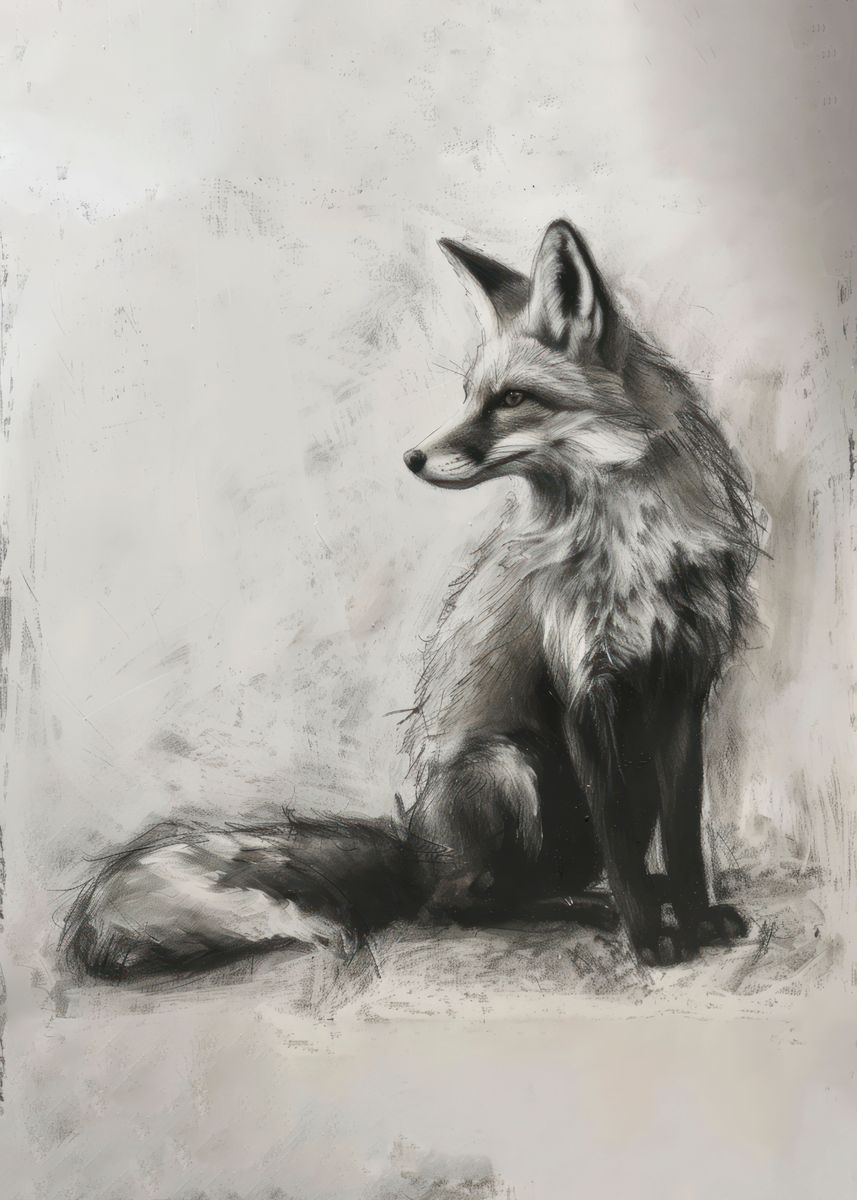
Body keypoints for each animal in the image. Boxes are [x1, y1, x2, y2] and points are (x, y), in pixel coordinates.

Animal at [62, 218, 760, 978]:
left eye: (511, 399)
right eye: (469, 393)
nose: (412, 458)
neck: (634, 549)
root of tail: (415, 849)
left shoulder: (684, 688)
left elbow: (683, 840)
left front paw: (695, 916)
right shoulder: (583, 688)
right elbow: (625, 846)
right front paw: (651, 939)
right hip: (507, 765)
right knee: (463, 905)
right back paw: (585, 907)